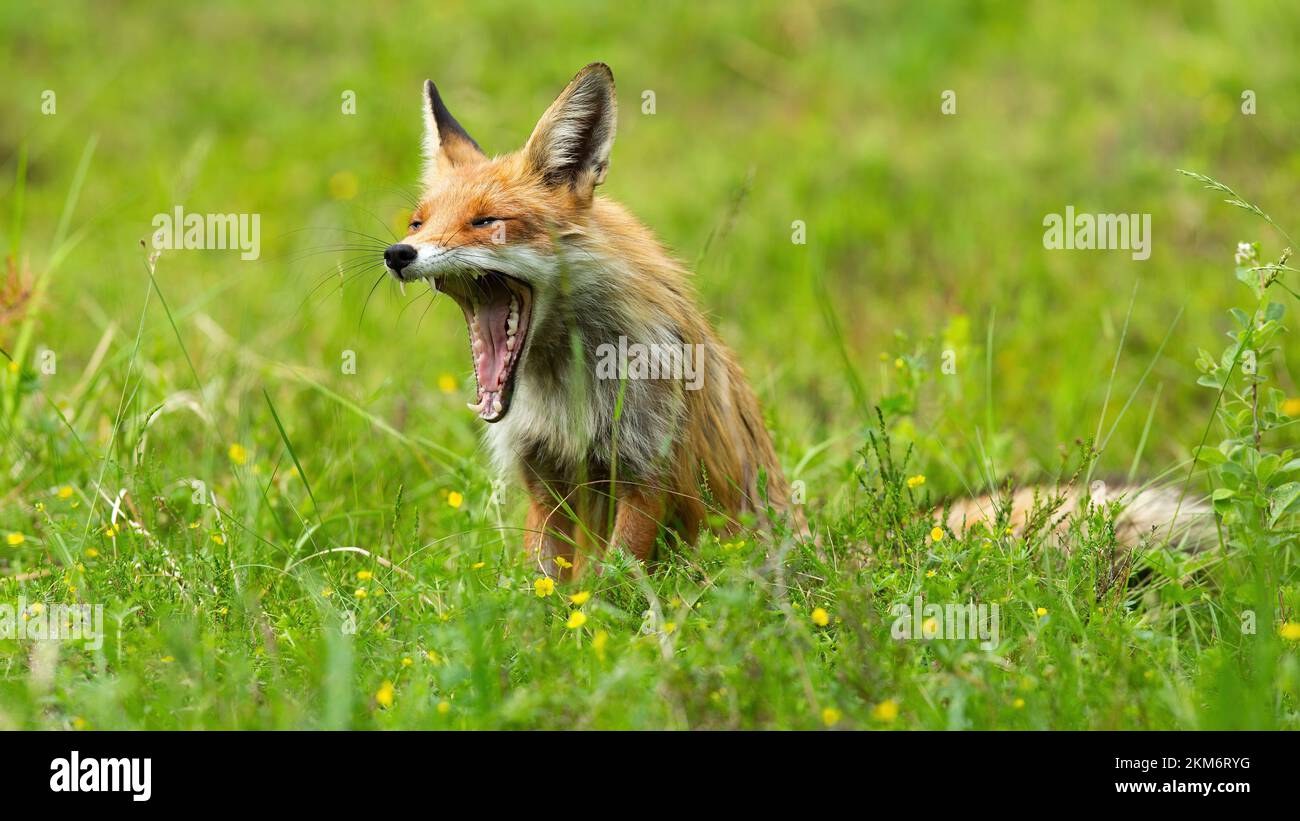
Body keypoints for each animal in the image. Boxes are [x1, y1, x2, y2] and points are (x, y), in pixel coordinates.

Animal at [382, 63, 1210, 576]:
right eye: (421, 219)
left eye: (488, 222)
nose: (398, 253)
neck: (565, 382)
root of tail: (829, 554)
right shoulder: (545, 480)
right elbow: (551, 593)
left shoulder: (649, 471)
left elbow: (613, 584)